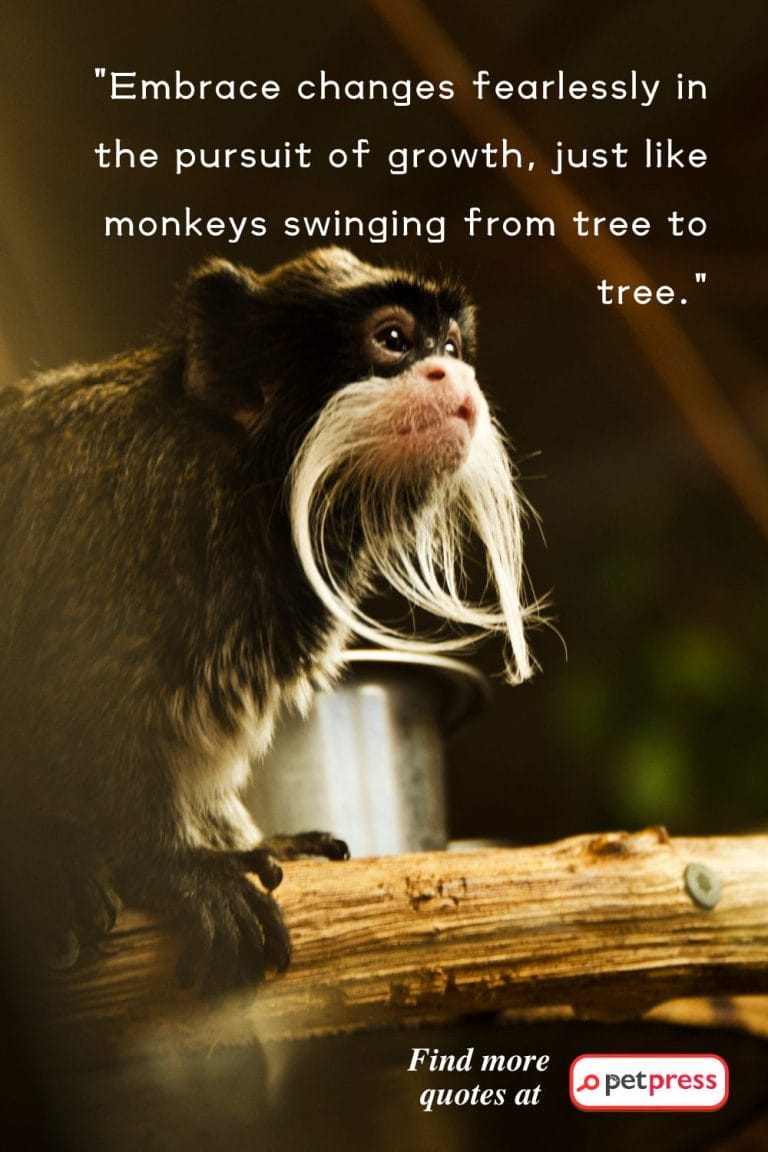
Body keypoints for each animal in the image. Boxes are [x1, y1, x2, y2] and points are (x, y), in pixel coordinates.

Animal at [0, 247, 537, 995]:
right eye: (394, 340)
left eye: (452, 346)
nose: (453, 374)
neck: (245, 480)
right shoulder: (134, 518)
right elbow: (79, 700)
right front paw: (176, 866)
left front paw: (247, 841)